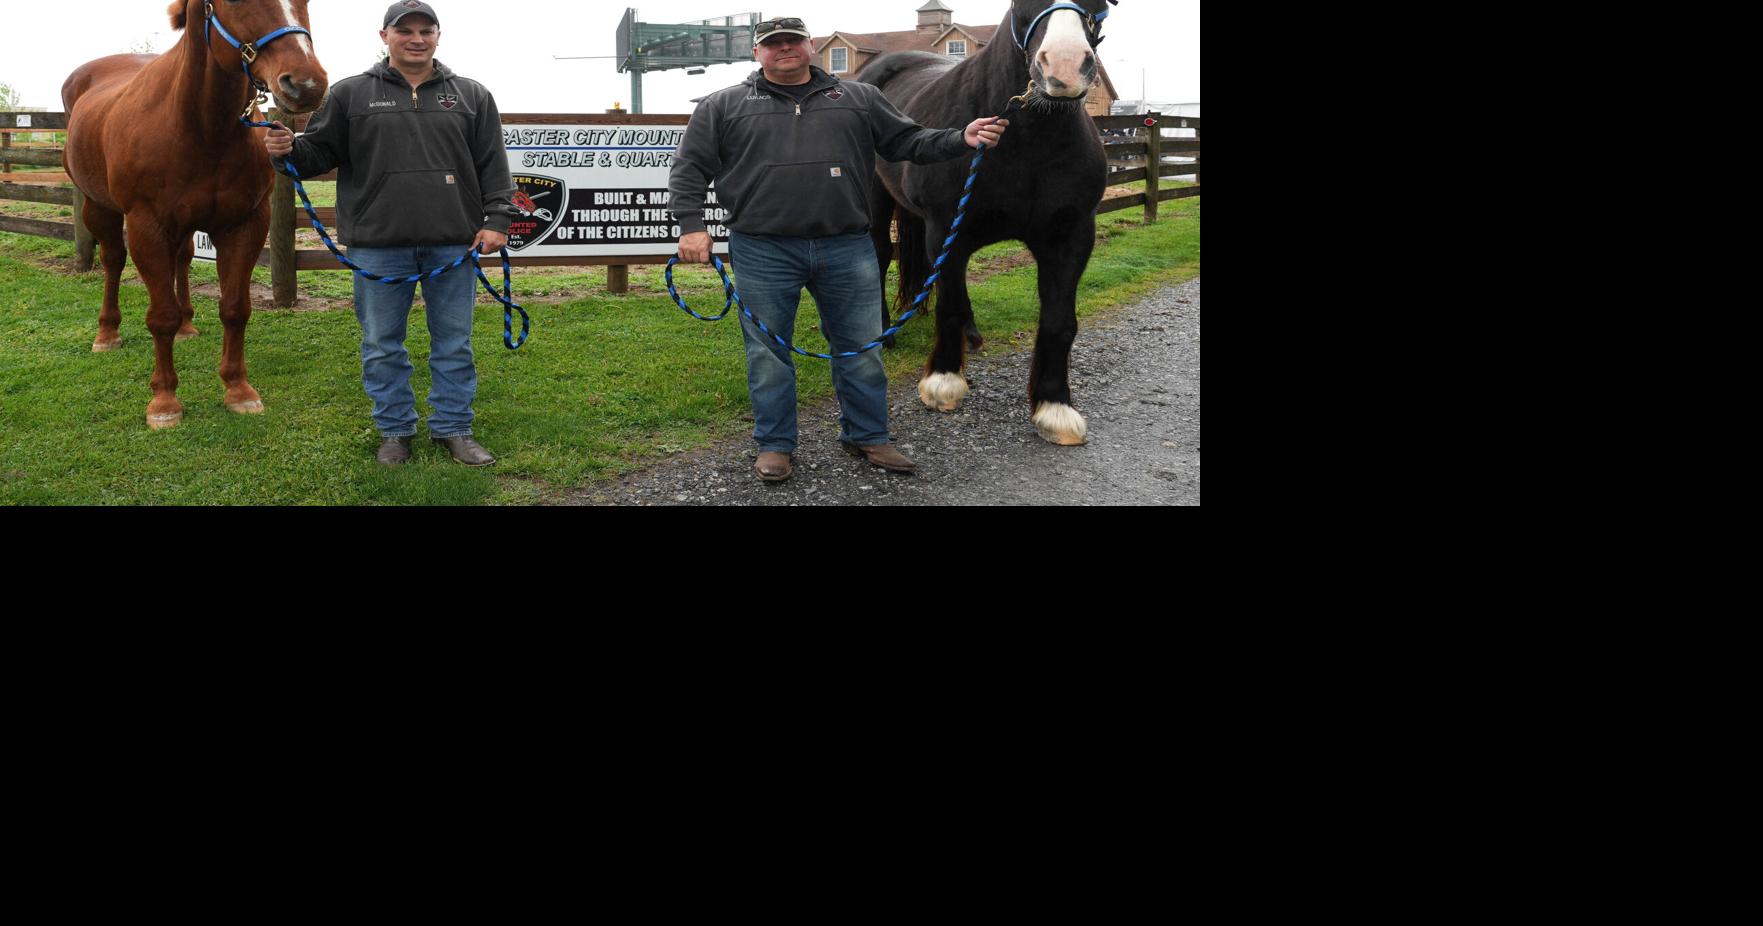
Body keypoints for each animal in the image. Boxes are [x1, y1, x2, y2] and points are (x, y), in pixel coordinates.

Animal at [62, 0, 327, 430]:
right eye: (234, 3)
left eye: (306, 3)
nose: (306, 85)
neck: (200, 126)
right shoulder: (146, 227)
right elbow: (160, 316)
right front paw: (165, 400)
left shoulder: (245, 225)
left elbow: (235, 309)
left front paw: (238, 389)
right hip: (98, 208)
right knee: (113, 261)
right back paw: (107, 333)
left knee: (181, 262)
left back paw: (187, 324)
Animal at [858, 0, 1116, 446]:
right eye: (1019, 3)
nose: (1063, 67)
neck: (1029, 139)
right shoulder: (946, 230)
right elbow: (949, 306)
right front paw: (943, 383)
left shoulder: (1072, 235)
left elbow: (1059, 321)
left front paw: (1055, 407)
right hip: (877, 205)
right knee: (878, 256)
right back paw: (885, 332)